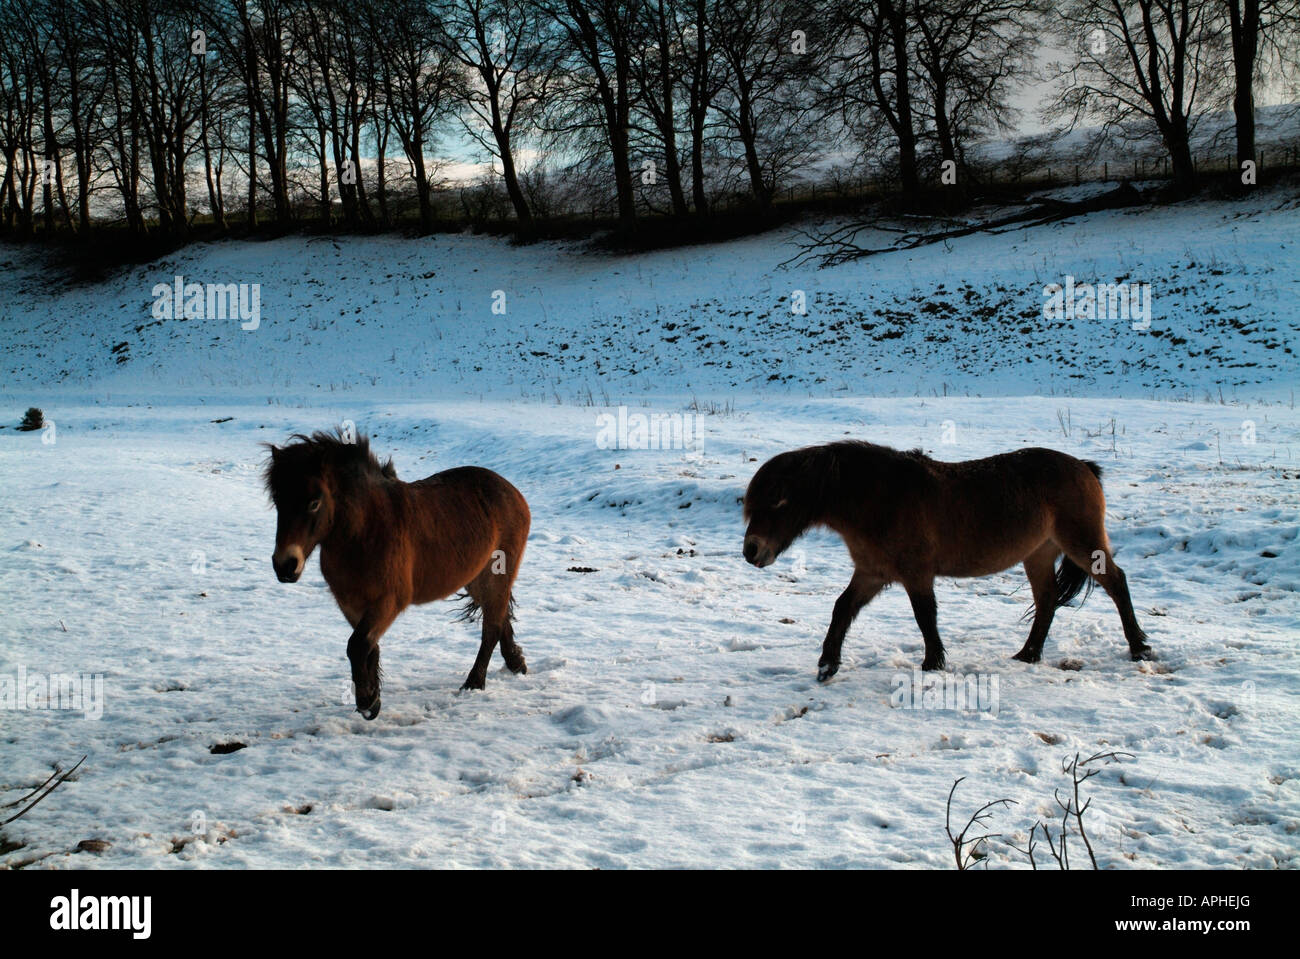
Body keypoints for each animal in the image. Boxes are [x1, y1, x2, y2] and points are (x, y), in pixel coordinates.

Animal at [264, 430, 530, 719]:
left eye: (314, 502)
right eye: (278, 501)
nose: (285, 565)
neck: (366, 531)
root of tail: (512, 492)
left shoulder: (388, 602)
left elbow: (357, 645)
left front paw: (367, 701)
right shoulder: (351, 605)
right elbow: (367, 646)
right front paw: (372, 694)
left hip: (496, 576)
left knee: (491, 627)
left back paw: (474, 683)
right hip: (475, 580)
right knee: (499, 617)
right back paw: (516, 663)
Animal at [741, 441, 1152, 680]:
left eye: (778, 502)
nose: (751, 551)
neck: (877, 498)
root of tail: (1083, 467)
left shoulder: (916, 574)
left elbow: (925, 616)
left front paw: (932, 664)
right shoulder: (871, 573)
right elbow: (842, 609)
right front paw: (828, 665)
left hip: (1083, 544)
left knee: (1117, 583)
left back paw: (1139, 649)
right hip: (1038, 553)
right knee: (1047, 600)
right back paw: (1028, 655)